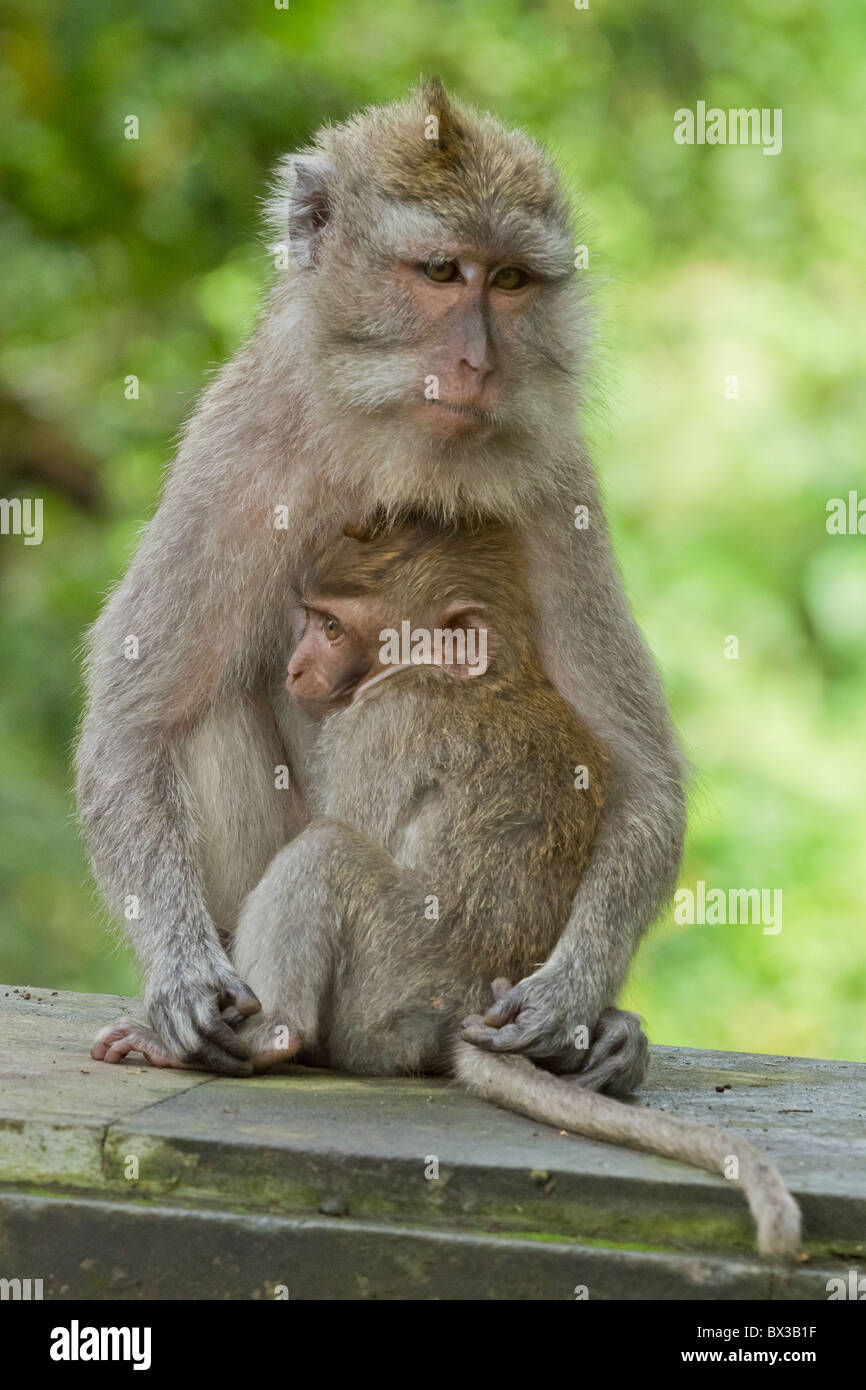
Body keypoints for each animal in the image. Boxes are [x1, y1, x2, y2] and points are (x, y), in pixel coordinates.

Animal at [77, 78, 685, 1085]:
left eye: (509, 281)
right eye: (441, 272)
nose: (480, 362)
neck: (392, 441)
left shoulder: (556, 478)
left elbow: (641, 768)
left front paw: (569, 1001)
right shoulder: (235, 450)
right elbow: (137, 722)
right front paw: (182, 978)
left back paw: (607, 1031)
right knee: (203, 721)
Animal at [92, 519, 800, 1260]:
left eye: (333, 627)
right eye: (312, 619)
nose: (294, 666)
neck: (484, 672)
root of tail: (464, 1007)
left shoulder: (383, 721)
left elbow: (348, 820)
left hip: (396, 984)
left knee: (325, 855)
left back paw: (271, 1036)